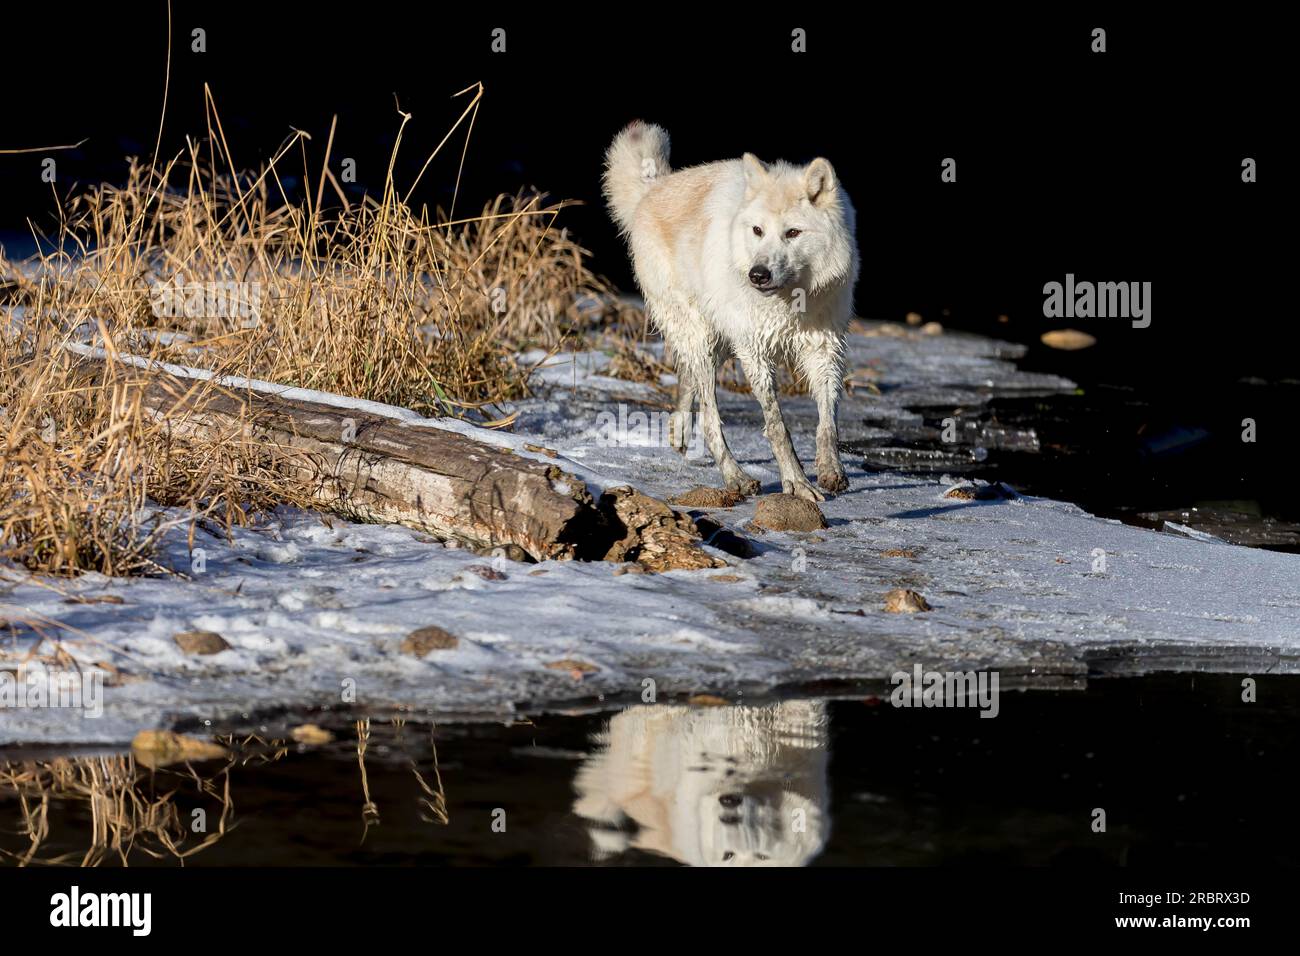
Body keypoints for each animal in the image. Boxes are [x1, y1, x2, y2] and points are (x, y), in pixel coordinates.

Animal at [603, 121, 859, 501]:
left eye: (792, 233)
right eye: (758, 231)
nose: (758, 274)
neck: (790, 302)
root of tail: (655, 188)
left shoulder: (825, 347)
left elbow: (828, 421)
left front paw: (831, 470)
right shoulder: (754, 351)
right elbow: (777, 426)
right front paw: (797, 484)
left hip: (718, 342)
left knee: (688, 379)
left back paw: (679, 431)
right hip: (703, 337)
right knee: (710, 418)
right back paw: (735, 478)